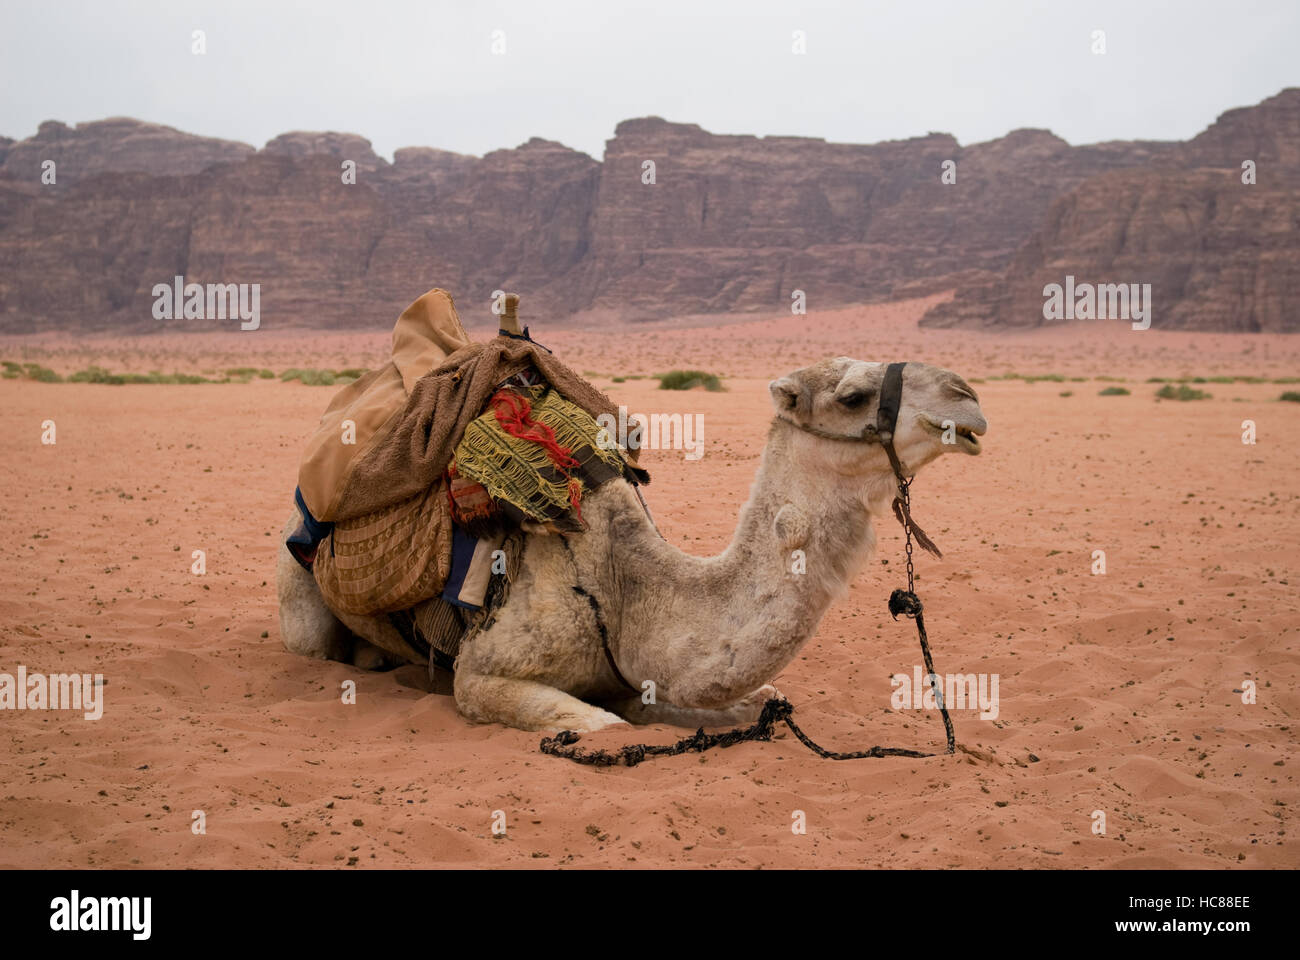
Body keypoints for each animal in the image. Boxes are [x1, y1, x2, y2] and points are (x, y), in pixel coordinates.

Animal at [277, 357, 987, 733]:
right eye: (853, 396)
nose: (968, 398)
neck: (620, 590)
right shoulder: (480, 675)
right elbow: (604, 726)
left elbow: (755, 700)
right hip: (299, 586)